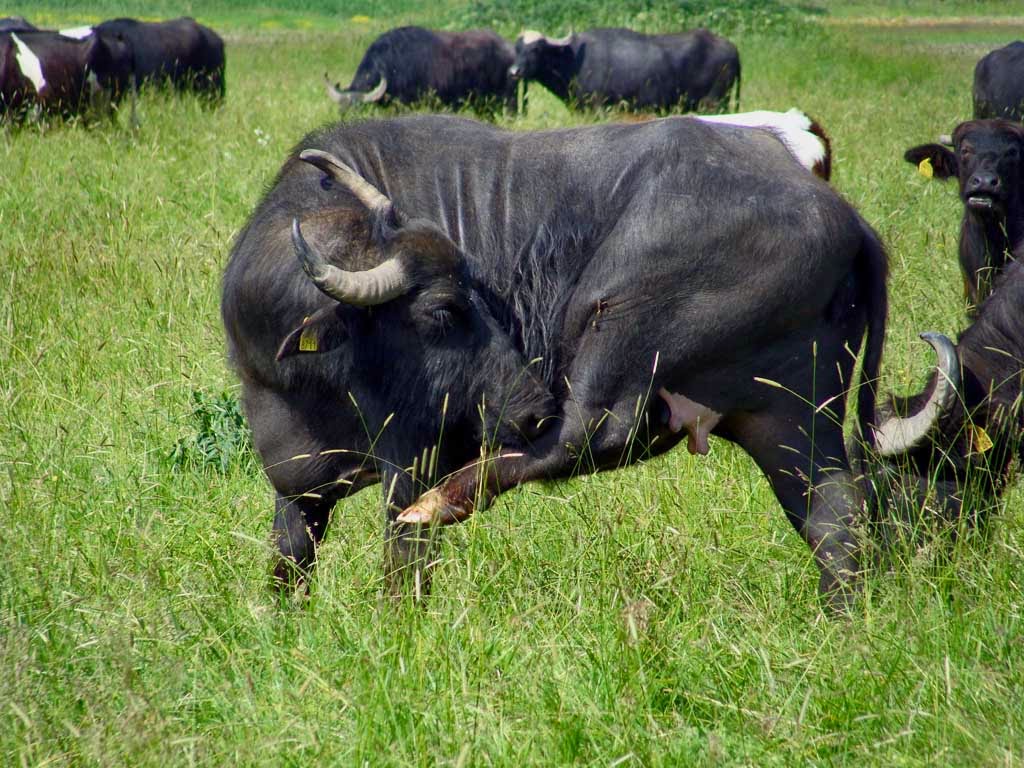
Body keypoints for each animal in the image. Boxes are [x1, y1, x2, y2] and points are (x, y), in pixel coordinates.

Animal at [223, 115, 887, 608]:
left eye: (473, 291)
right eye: (442, 310)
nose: (530, 405)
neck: (310, 382)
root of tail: (845, 215)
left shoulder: (413, 456)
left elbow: (401, 560)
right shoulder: (296, 486)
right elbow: (287, 566)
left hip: (619, 326)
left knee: (589, 434)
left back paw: (447, 500)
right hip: (792, 415)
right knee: (833, 517)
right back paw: (840, 616)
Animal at [509, 27, 740, 112]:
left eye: (536, 49)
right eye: (517, 48)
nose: (514, 72)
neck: (573, 62)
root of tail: (733, 49)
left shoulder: (597, 108)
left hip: (713, 104)